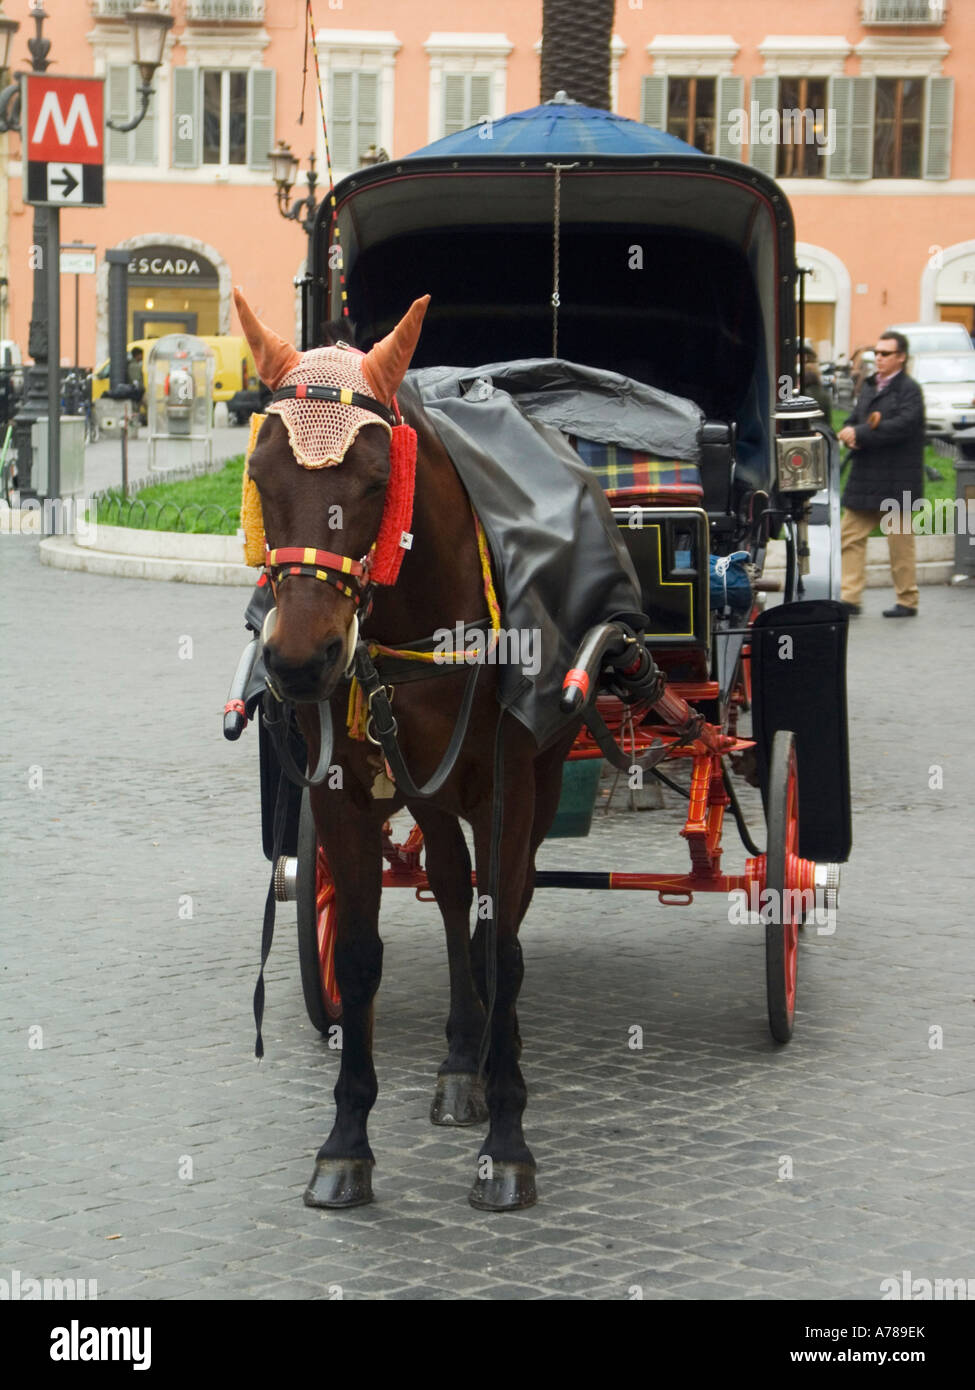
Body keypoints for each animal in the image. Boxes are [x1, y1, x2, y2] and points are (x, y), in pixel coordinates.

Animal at [235, 288, 579, 1211]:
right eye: (258, 476)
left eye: (377, 481)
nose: (299, 660)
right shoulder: (338, 793)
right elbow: (358, 956)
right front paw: (345, 1142)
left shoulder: (507, 785)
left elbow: (506, 939)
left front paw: (509, 1141)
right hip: (427, 788)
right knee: (457, 892)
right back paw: (462, 1061)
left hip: (529, 779)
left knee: (504, 909)